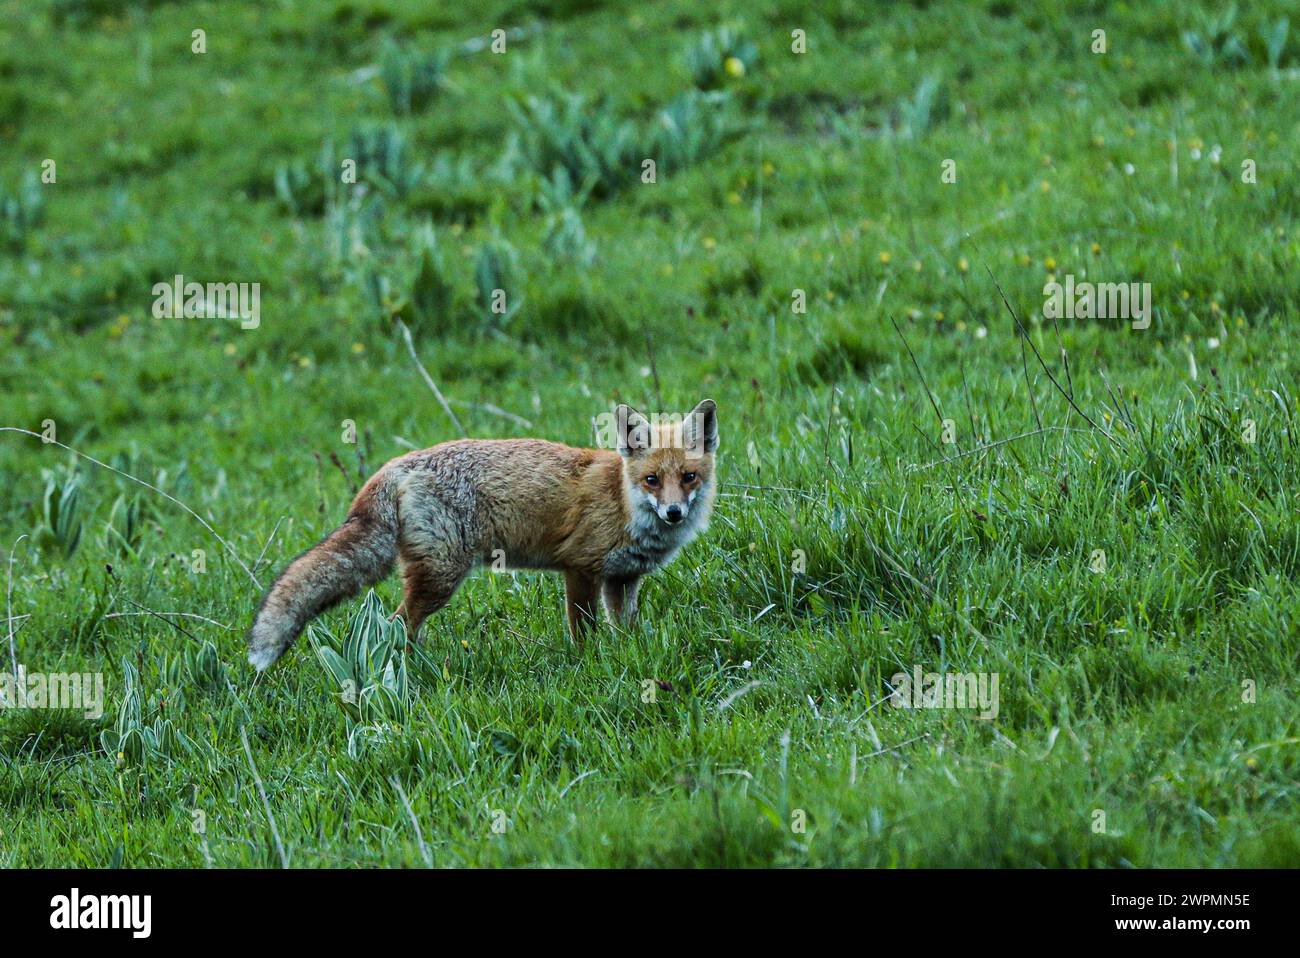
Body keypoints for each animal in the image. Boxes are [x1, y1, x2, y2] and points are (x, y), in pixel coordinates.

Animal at [247, 399, 719, 670]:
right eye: (652, 480)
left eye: (689, 477)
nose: (674, 513)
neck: (624, 503)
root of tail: (396, 463)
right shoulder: (580, 568)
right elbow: (583, 632)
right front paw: (587, 663)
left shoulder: (623, 579)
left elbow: (626, 629)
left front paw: (629, 654)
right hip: (440, 576)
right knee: (395, 627)